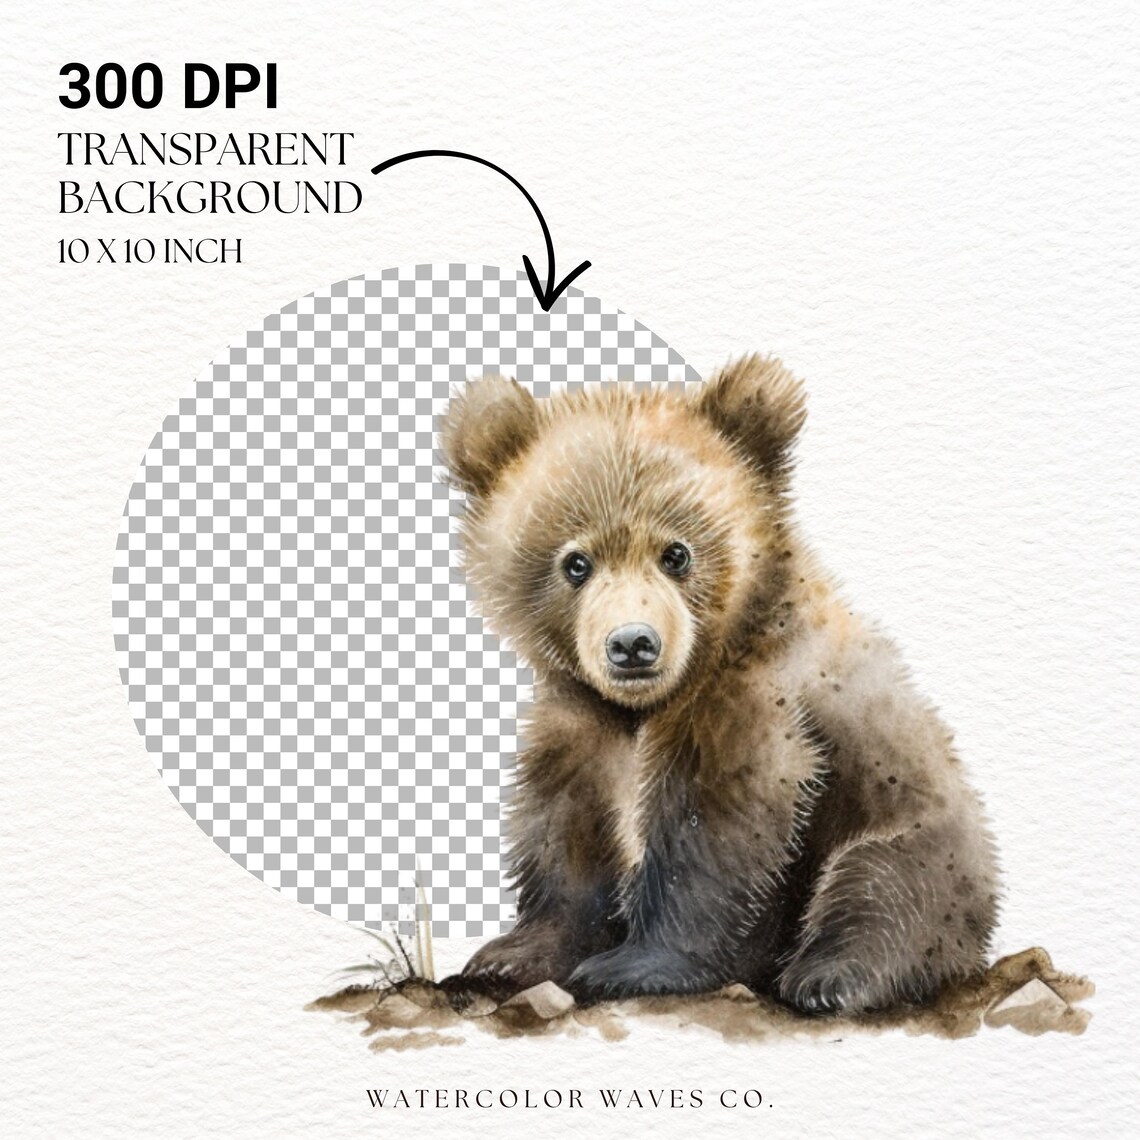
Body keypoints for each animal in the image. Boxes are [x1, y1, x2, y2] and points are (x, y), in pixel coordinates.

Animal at [439, 354, 1000, 1015]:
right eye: (576, 562)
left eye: (676, 553)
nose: (633, 643)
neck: (646, 708)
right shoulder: (581, 722)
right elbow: (567, 827)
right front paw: (511, 953)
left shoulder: (760, 703)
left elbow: (720, 828)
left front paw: (635, 965)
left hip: (916, 833)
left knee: (881, 892)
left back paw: (828, 977)